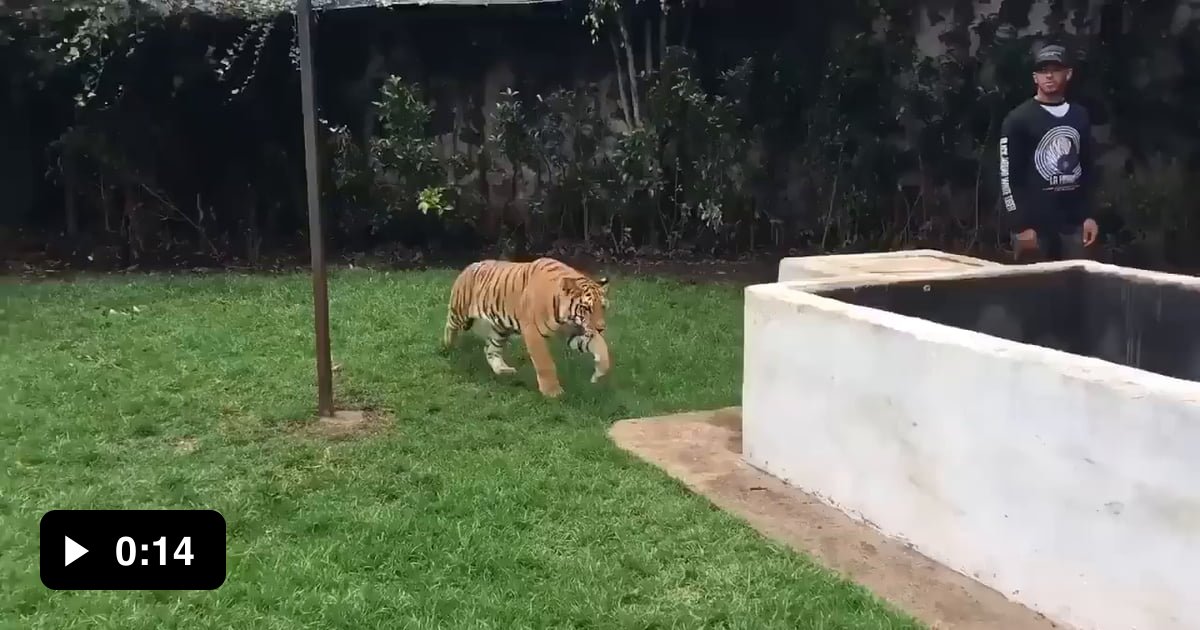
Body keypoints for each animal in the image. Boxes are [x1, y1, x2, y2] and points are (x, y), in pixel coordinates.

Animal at [442, 257, 611, 398]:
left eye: (602, 307)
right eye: (587, 308)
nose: (601, 328)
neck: (566, 317)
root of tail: (469, 266)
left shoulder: (575, 331)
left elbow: (601, 347)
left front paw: (599, 372)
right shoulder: (533, 331)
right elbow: (544, 363)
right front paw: (552, 392)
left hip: (500, 328)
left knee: (490, 350)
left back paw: (503, 370)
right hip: (460, 313)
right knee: (450, 325)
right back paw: (447, 347)